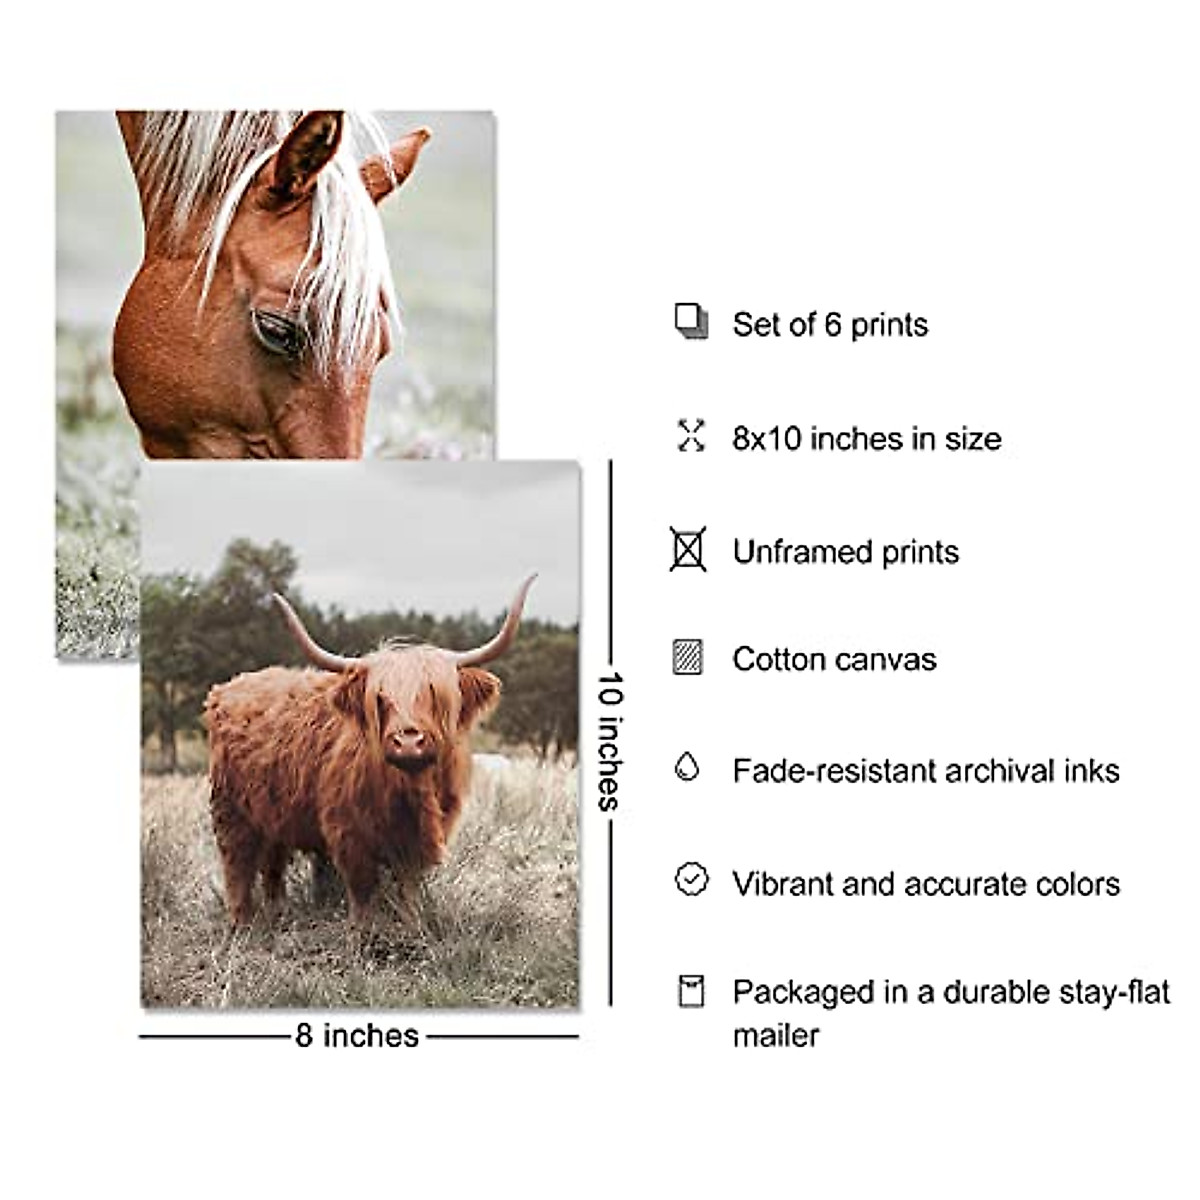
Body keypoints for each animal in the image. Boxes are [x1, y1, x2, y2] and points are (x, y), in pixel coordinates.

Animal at [204, 576, 534, 934]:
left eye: (434, 694)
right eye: (380, 698)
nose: (408, 741)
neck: (408, 791)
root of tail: (230, 686)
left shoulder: (417, 841)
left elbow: (408, 888)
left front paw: (412, 929)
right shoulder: (349, 834)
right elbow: (362, 891)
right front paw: (362, 936)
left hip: (272, 815)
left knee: (272, 867)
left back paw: (278, 916)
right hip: (231, 812)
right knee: (237, 868)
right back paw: (242, 926)